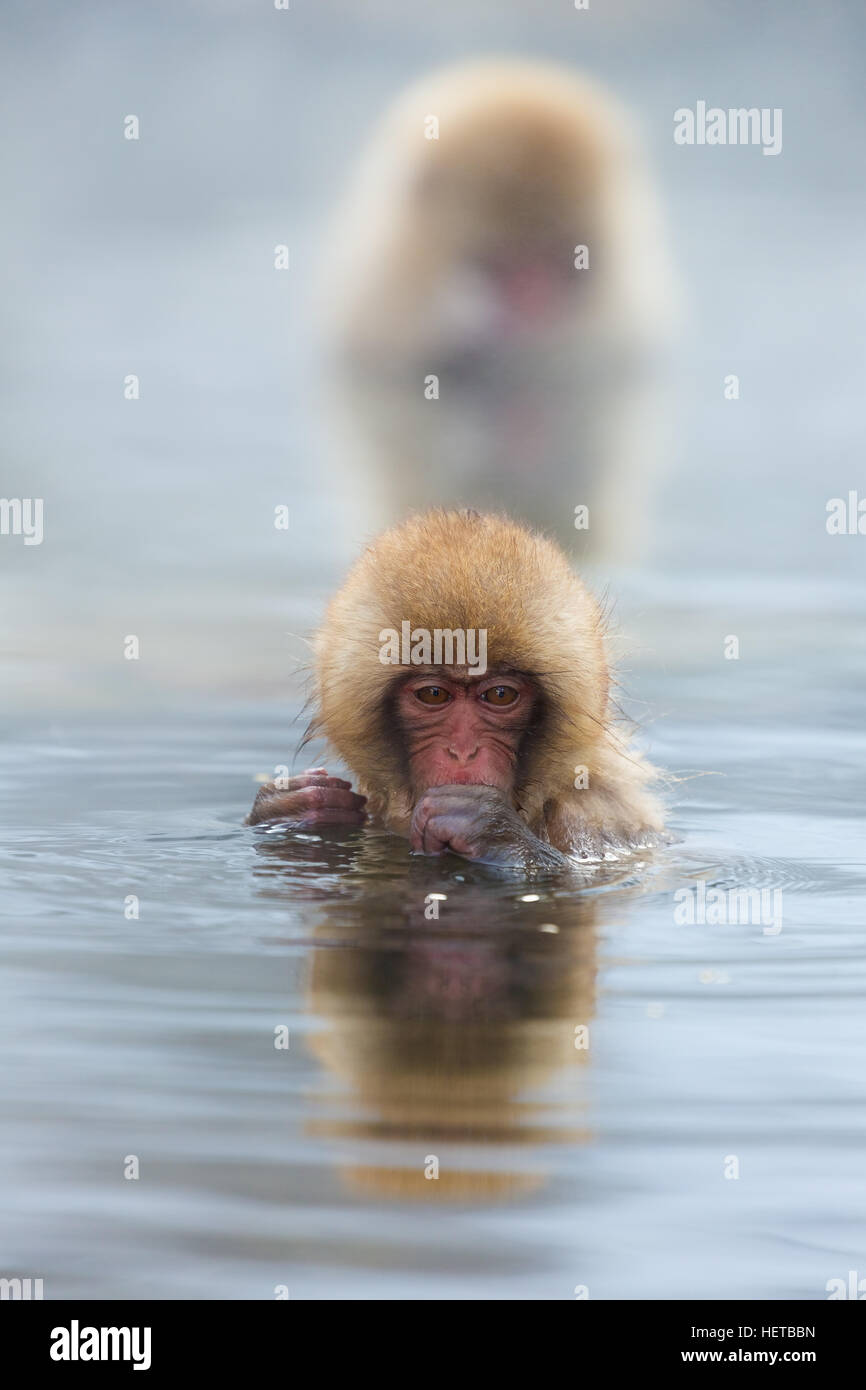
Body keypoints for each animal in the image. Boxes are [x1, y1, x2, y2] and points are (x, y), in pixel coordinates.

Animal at [247, 510, 666, 870]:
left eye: (500, 695)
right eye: (434, 695)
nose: (463, 752)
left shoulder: (597, 818)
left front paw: (485, 826)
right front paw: (294, 806)